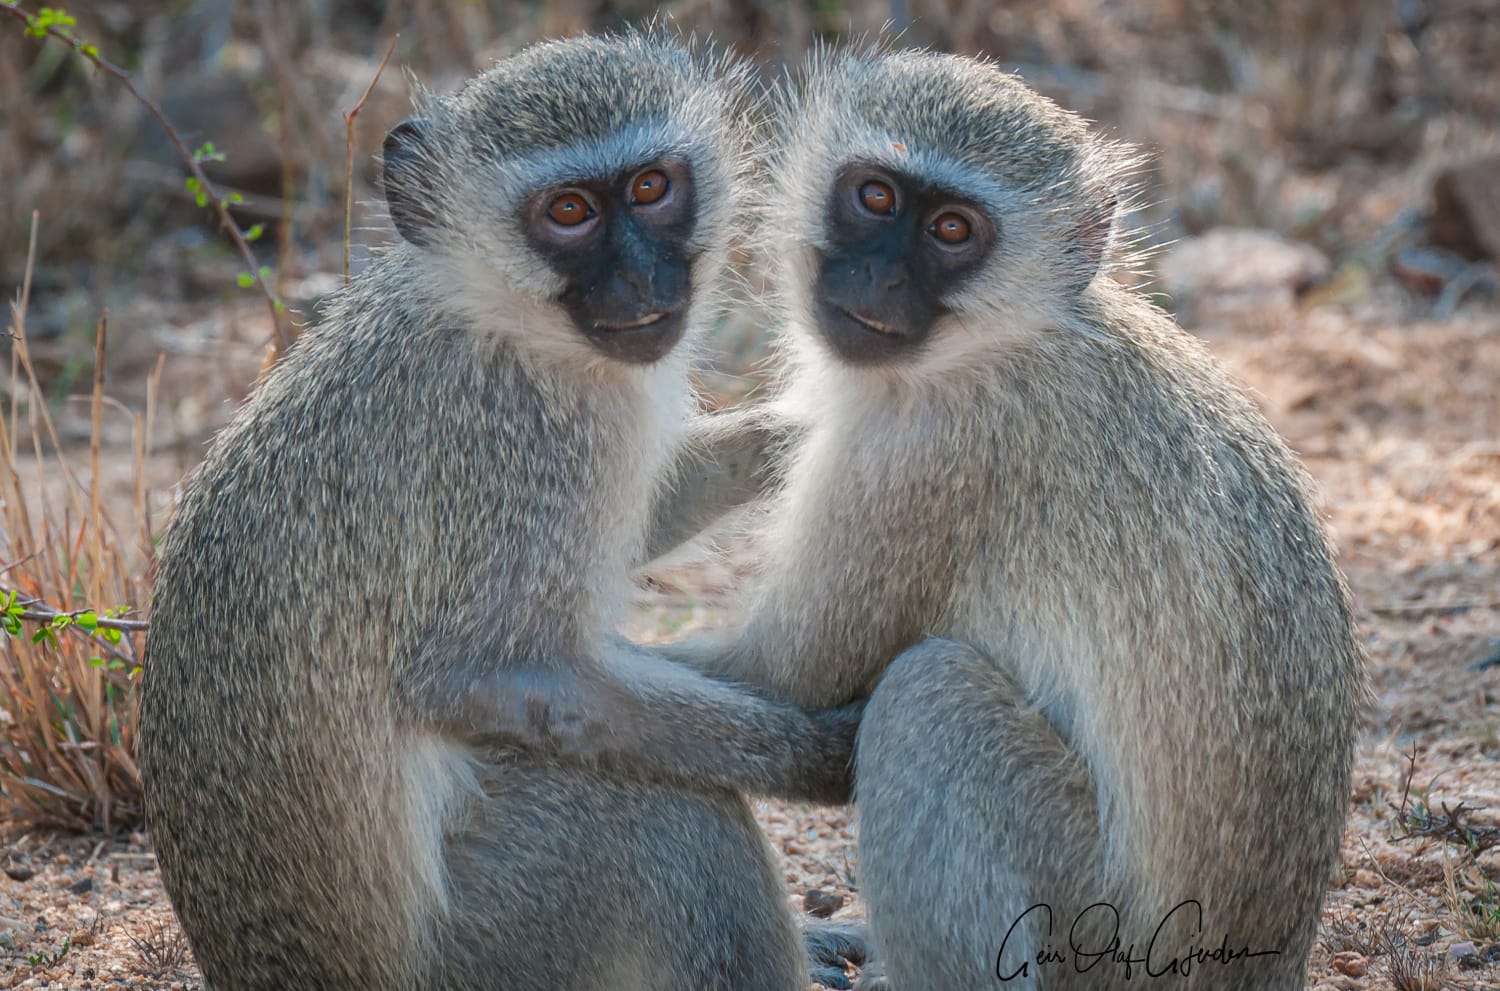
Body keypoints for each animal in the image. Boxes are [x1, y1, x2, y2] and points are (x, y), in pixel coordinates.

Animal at [137, 33, 866, 991]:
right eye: (568, 212)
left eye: (651, 188)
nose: (643, 276)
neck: (500, 315)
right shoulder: (529, 441)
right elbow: (489, 675)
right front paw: (822, 755)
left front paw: (801, 433)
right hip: (495, 943)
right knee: (650, 801)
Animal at [488, 48, 1367, 991]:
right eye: (875, 197)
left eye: (951, 230)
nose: (876, 278)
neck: (1008, 336)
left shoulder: (928, 448)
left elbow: (785, 675)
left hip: (1095, 928)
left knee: (930, 696)